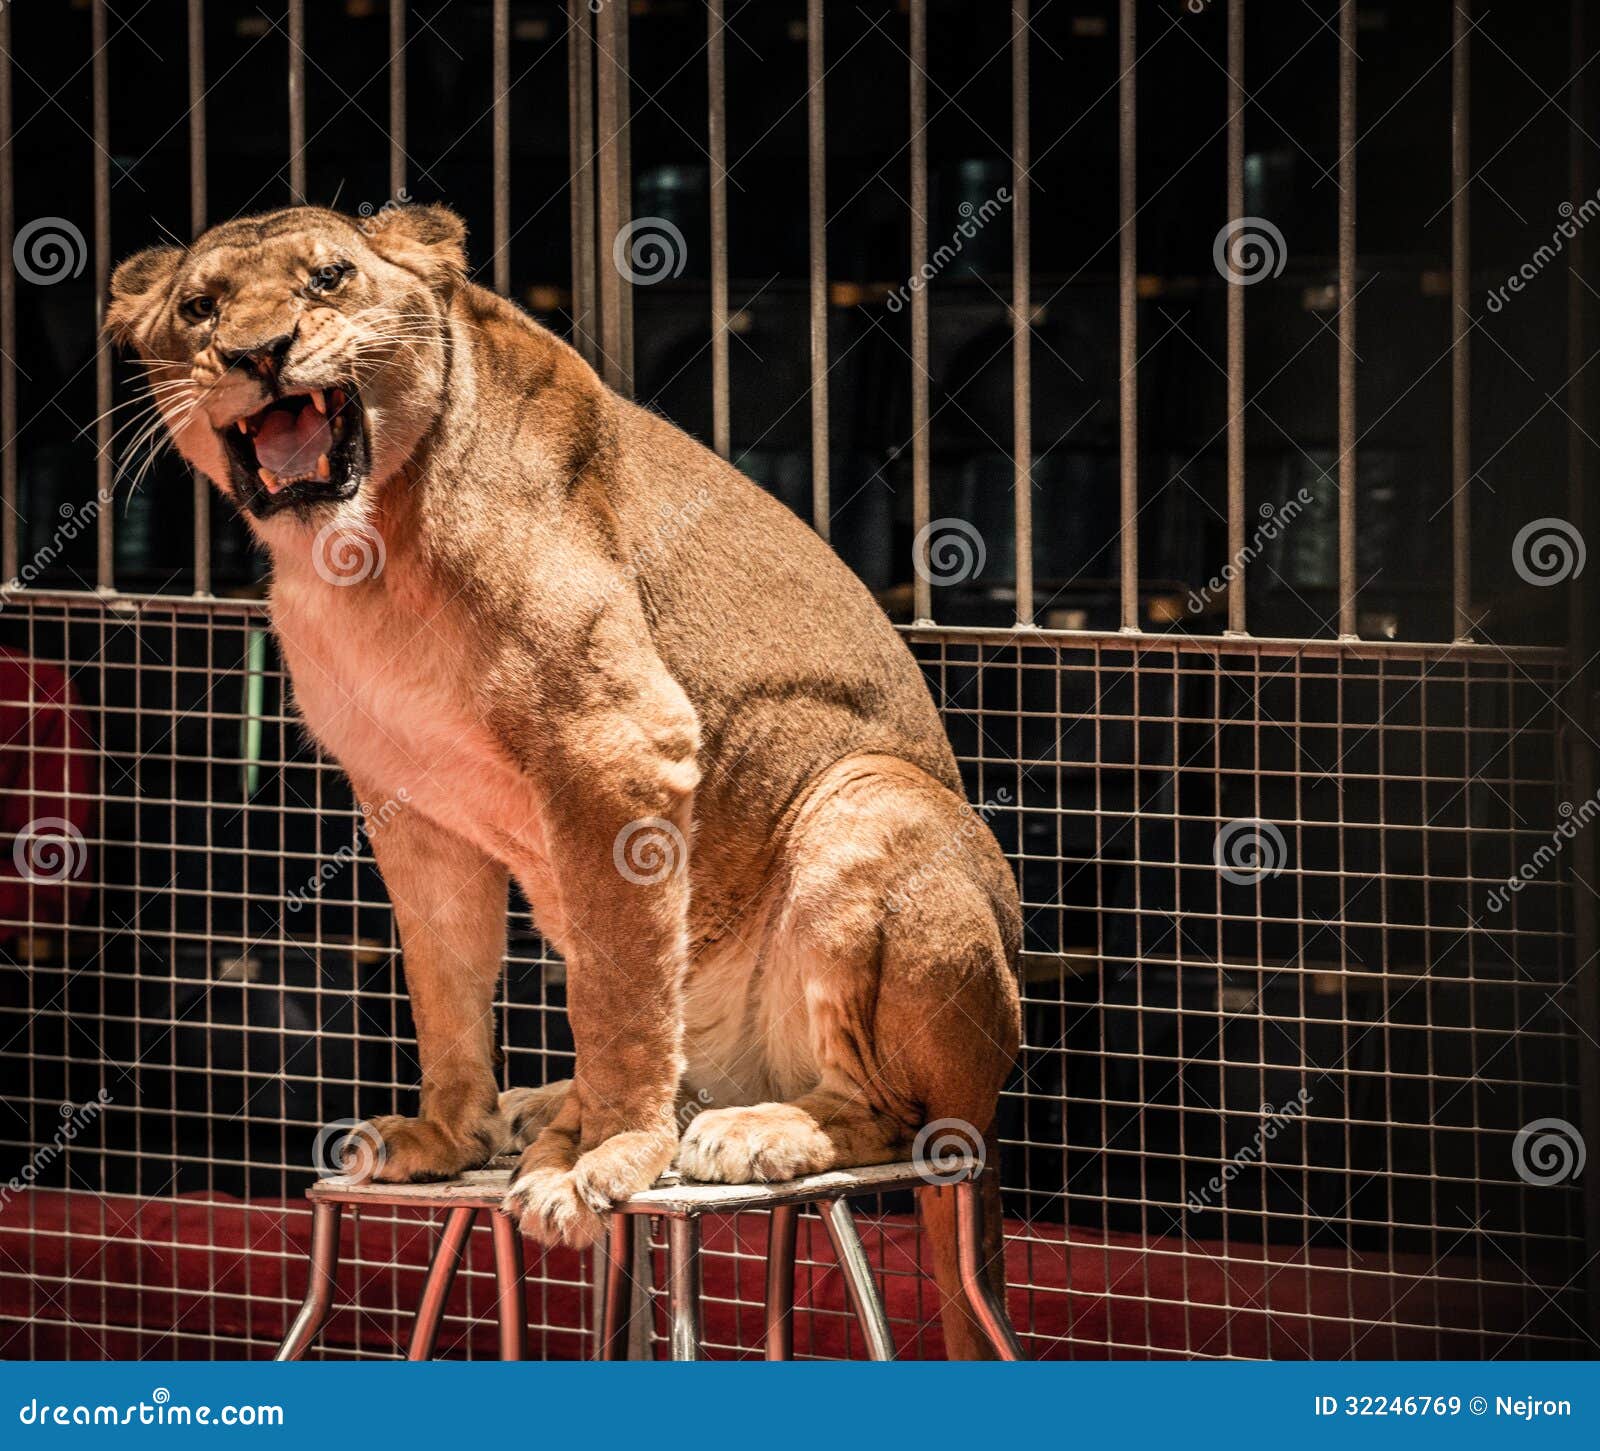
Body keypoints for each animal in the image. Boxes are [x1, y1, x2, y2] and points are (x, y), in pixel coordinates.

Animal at [107, 204, 1022, 1357]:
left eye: (328, 279)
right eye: (199, 306)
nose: (257, 355)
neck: (360, 558)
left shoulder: (616, 744)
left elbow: (618, 993)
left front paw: (608, 1157)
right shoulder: (409, 801)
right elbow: (445, 986)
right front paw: (448, 1133)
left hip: (870, 802)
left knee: (900, 1116)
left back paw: (740, 1131)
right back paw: (552, 1108)